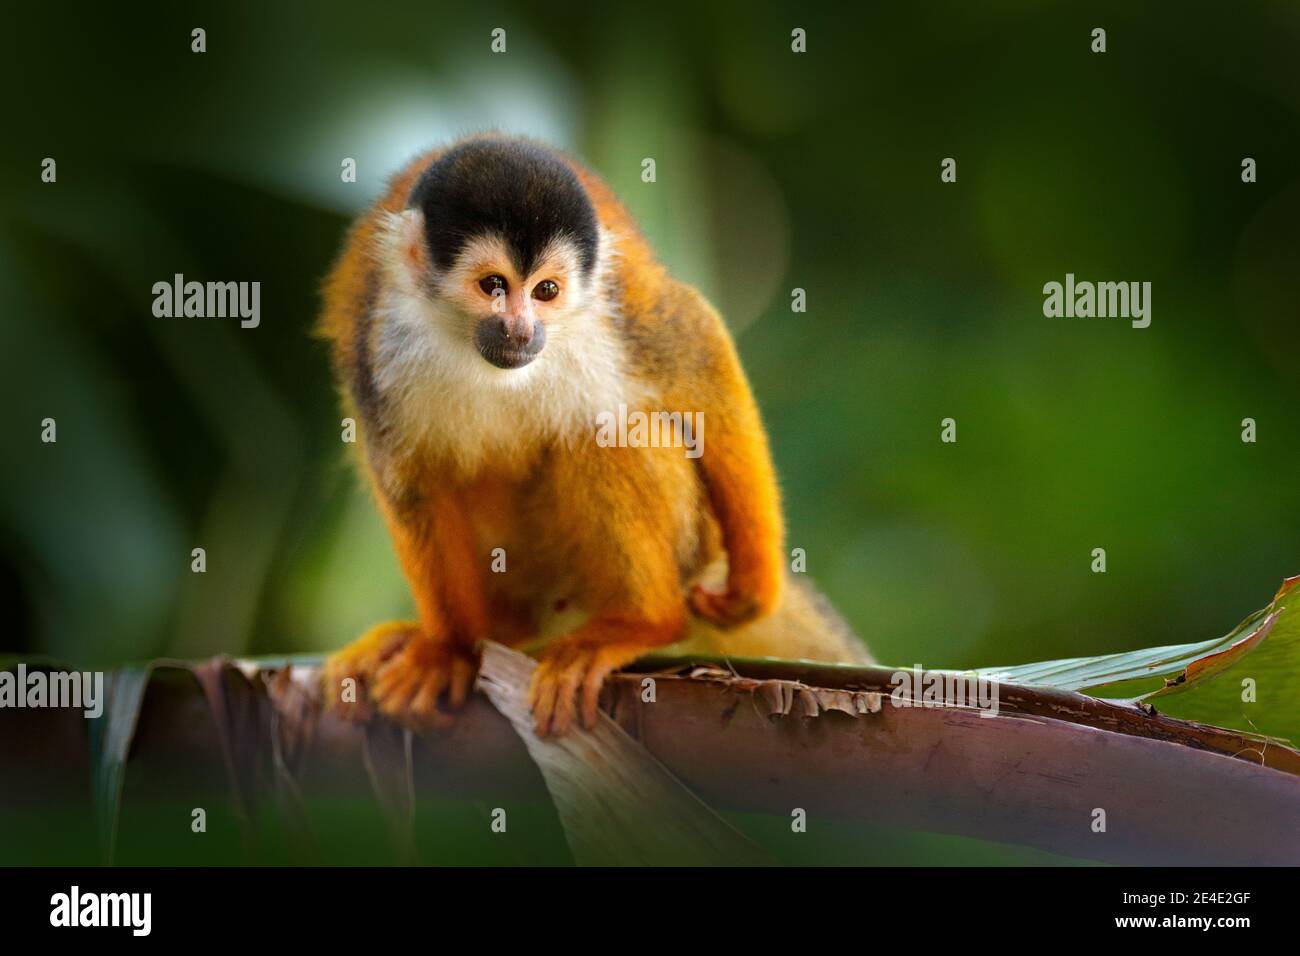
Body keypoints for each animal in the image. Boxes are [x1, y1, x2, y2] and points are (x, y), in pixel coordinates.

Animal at [318, 134, 870, 736]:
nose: (520, 330)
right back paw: (489, 632)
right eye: (493, 286)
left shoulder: (611, 304)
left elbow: (696, 349)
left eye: (546, 291)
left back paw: (643, 623)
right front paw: (450, 650)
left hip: (687, 546)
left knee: (603, 430)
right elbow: (414, 482)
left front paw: (753, 583)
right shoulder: (379, 344)